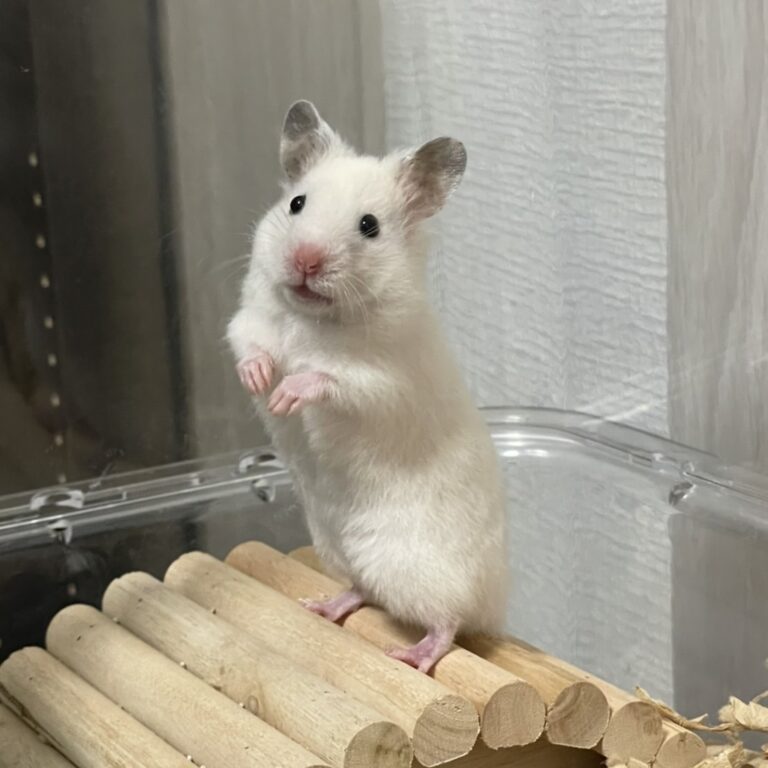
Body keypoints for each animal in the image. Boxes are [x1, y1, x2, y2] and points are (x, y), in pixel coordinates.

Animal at [227, 100, 507, 672]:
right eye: (297, 203)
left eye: (369, 226)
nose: (306, 260)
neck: (311, 319)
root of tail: (496, 605)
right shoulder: (248, 322)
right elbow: (250, 347)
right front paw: (263, 379)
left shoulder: (381, 380)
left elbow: (329, 379)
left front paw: (287, 395)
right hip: (338, 549)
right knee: (363, 590)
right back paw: (321, 605)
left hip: (425, 574)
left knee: (448, 622)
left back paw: (412, 656)